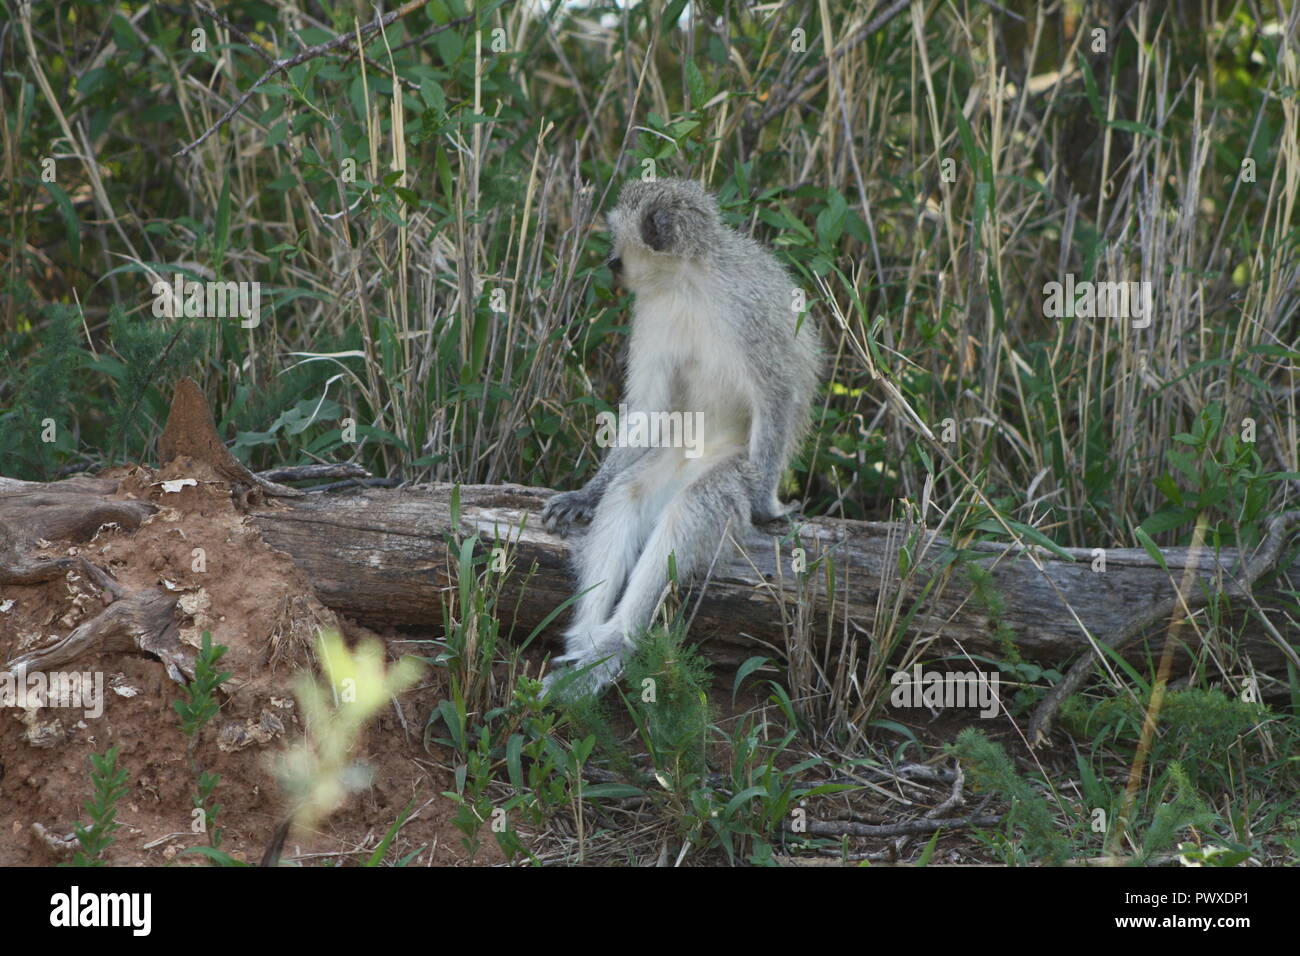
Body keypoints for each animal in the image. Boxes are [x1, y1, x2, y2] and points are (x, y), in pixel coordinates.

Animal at [541, 176, 823, 695]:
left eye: (619, 238)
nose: (611, 261)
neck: (688, 282)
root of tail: (700, 456)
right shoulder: (653, 311)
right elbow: (648, 408)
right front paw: (585, 495)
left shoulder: (747, 312)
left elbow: (776, 392)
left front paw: (767, 508)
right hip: (674, 456)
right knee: (627, 493)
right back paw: (587, 641)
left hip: (732, 464)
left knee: (693, 505)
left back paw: (616, 641)